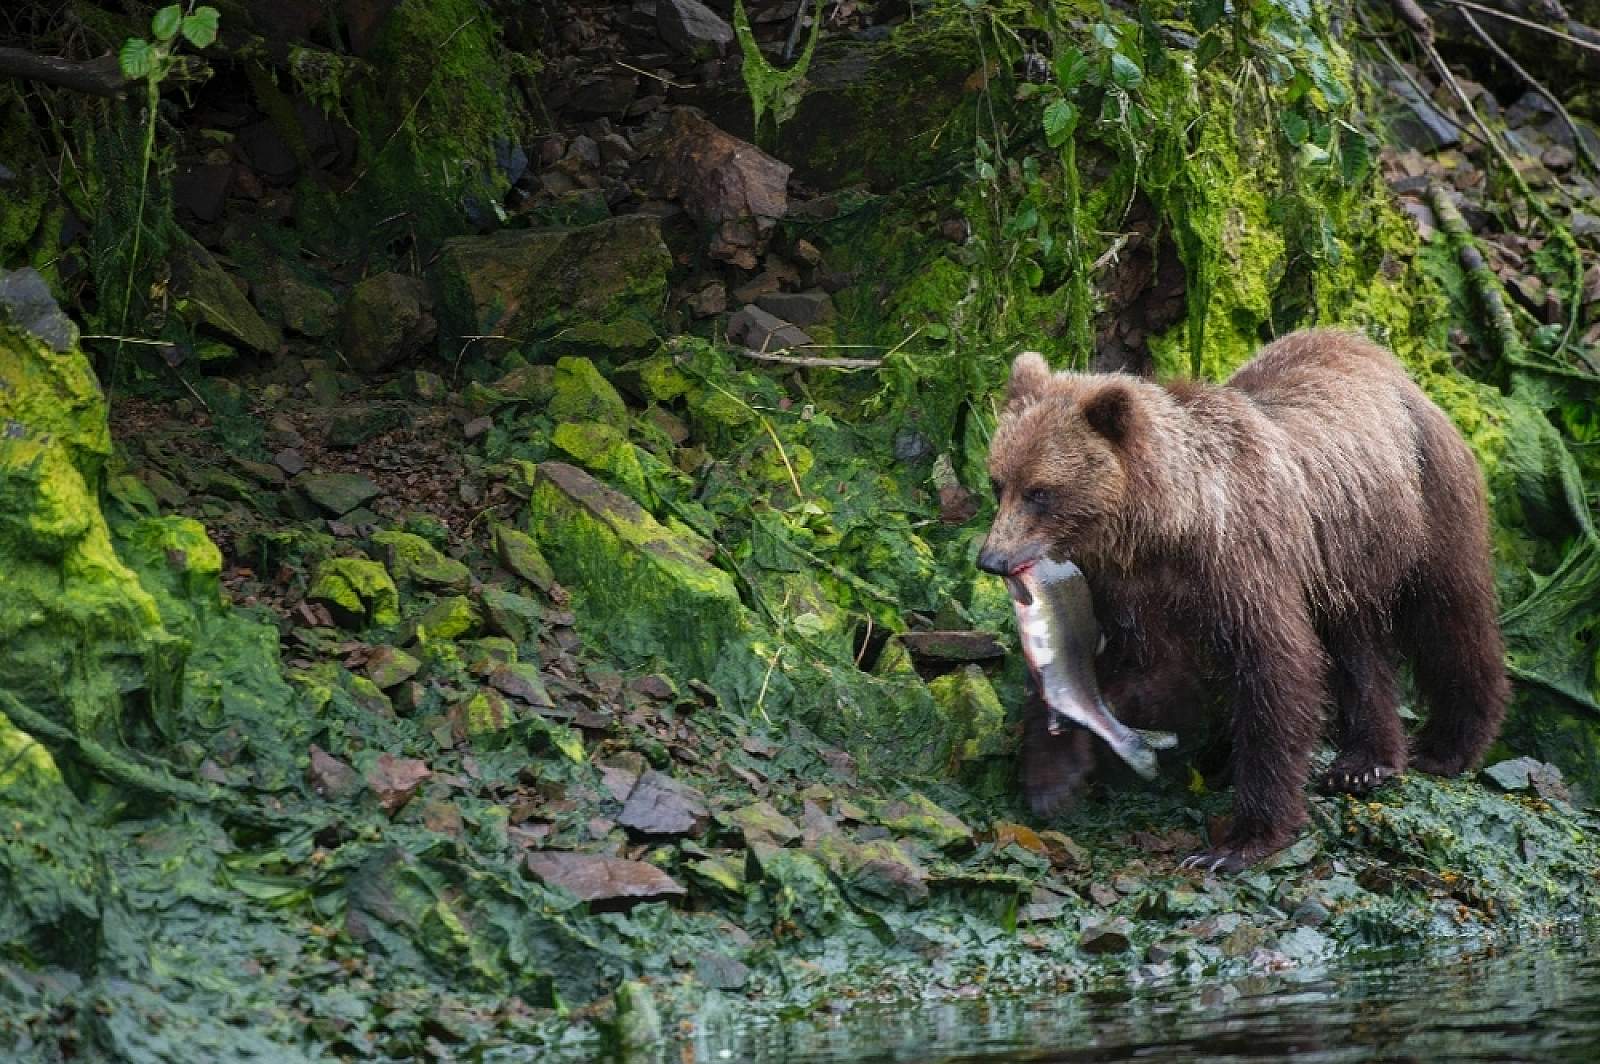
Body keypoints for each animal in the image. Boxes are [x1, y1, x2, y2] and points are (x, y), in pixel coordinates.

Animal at [979, 328, 1509, 871]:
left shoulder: (1241, 565)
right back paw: (1365, 761)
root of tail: (1385, 360)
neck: (1166, 526)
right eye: (998, 482)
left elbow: (1275, 675)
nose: (992, 559)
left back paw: (1449, 744)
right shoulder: (1130, 591)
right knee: (1357, 651)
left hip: (1426, 501)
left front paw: (1241, 838)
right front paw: (1052, 774)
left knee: (1449, 618)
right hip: (1339, 559)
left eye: (1041, 492)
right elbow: (1140, 673)